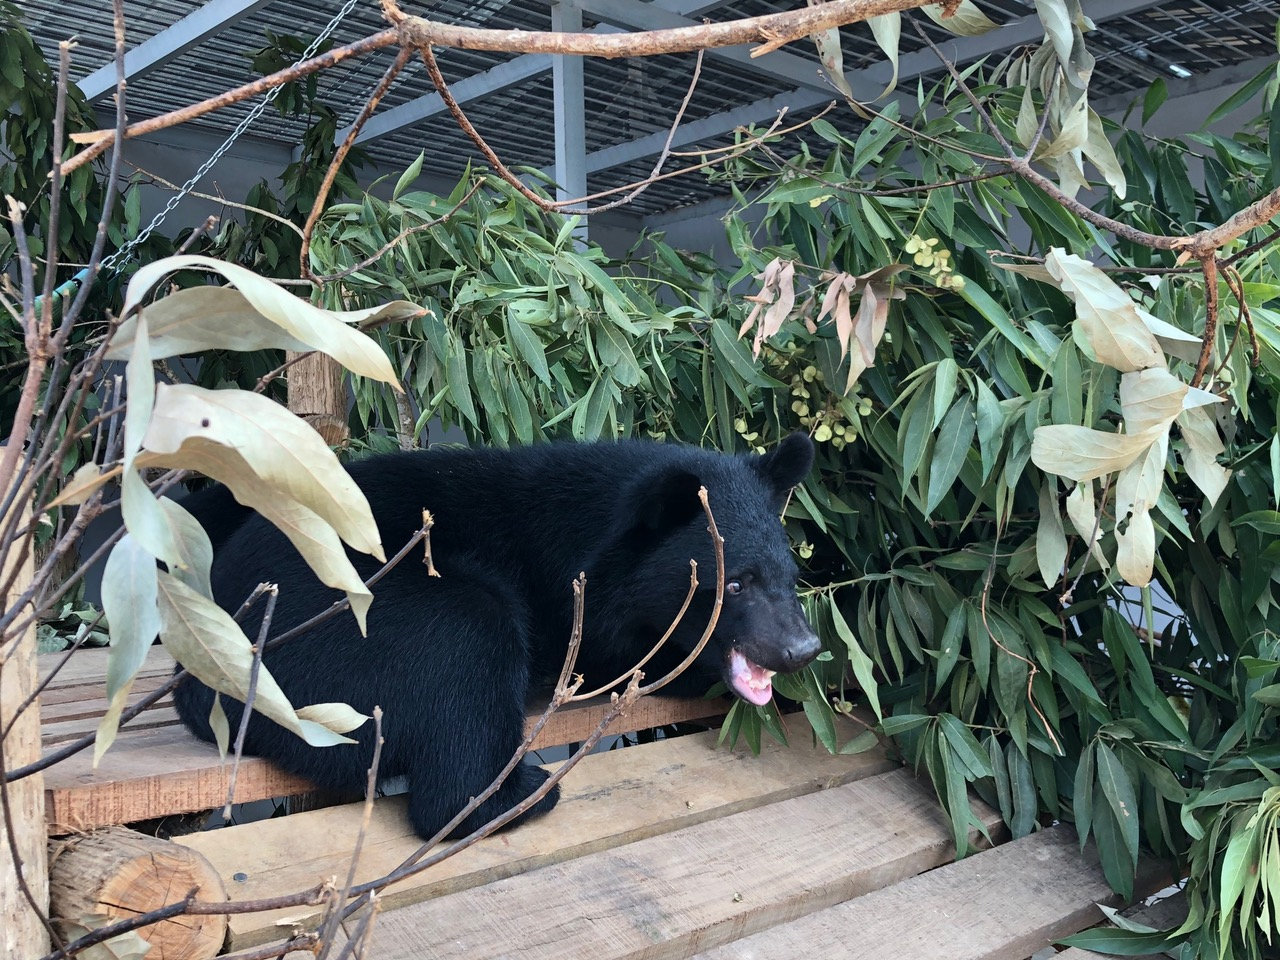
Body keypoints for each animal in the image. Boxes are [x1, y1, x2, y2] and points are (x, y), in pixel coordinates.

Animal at [173, 434, 821, 841]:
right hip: (335, 637)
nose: (802, 650)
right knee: (469, 639)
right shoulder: (574, 604)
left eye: (790, 577)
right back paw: (515, 793)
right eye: (734, 584)